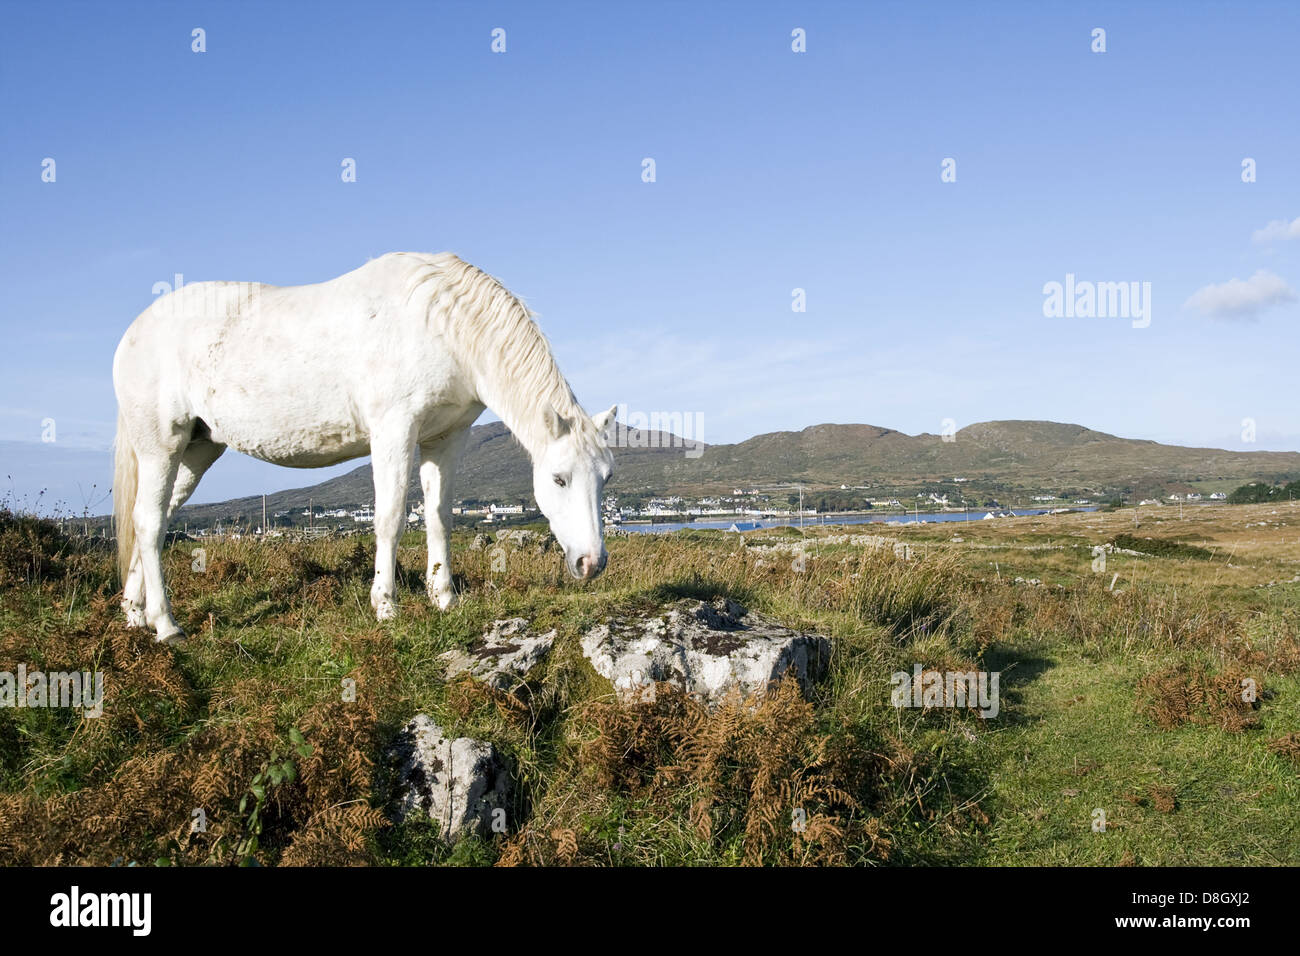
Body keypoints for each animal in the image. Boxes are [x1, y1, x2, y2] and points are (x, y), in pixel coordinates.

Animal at [112, 252, 616, 643]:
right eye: (559, 479)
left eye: (605, 480)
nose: (591, 564)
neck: (442, 322)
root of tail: (134, 331)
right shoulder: (394, 430)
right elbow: (390, 518)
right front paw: (386, 606)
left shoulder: (444, 439)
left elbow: (439, 518)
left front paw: (444, 599)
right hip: (161, 445)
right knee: (150, 522)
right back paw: (166, 624)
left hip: (197, 451)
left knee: (150, 521)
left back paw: (134, 614)